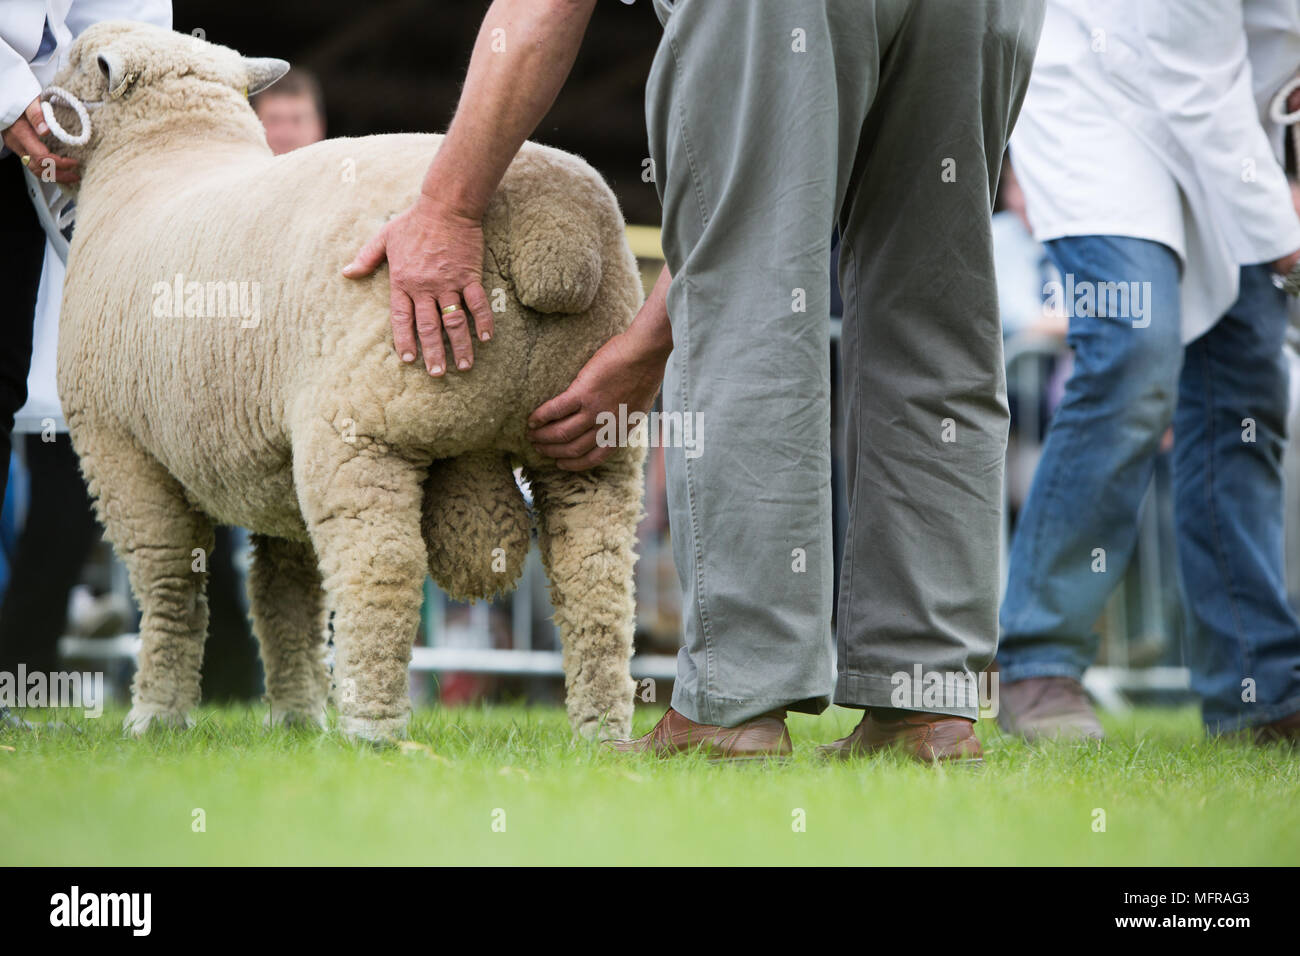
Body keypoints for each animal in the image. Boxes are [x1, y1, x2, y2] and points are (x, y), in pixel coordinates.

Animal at [44, 21, 646, 743]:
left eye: (72, 59)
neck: (165, 153)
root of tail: (553, 228)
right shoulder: (269, 460)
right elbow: (285, 595)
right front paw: (295, 720)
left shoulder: (117, 448)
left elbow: (169, 587)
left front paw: (157, 716)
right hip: (593, 433)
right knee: (595, 575)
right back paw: (602, 735)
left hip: (365, 425)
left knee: (381, 565)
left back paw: (373, 729)